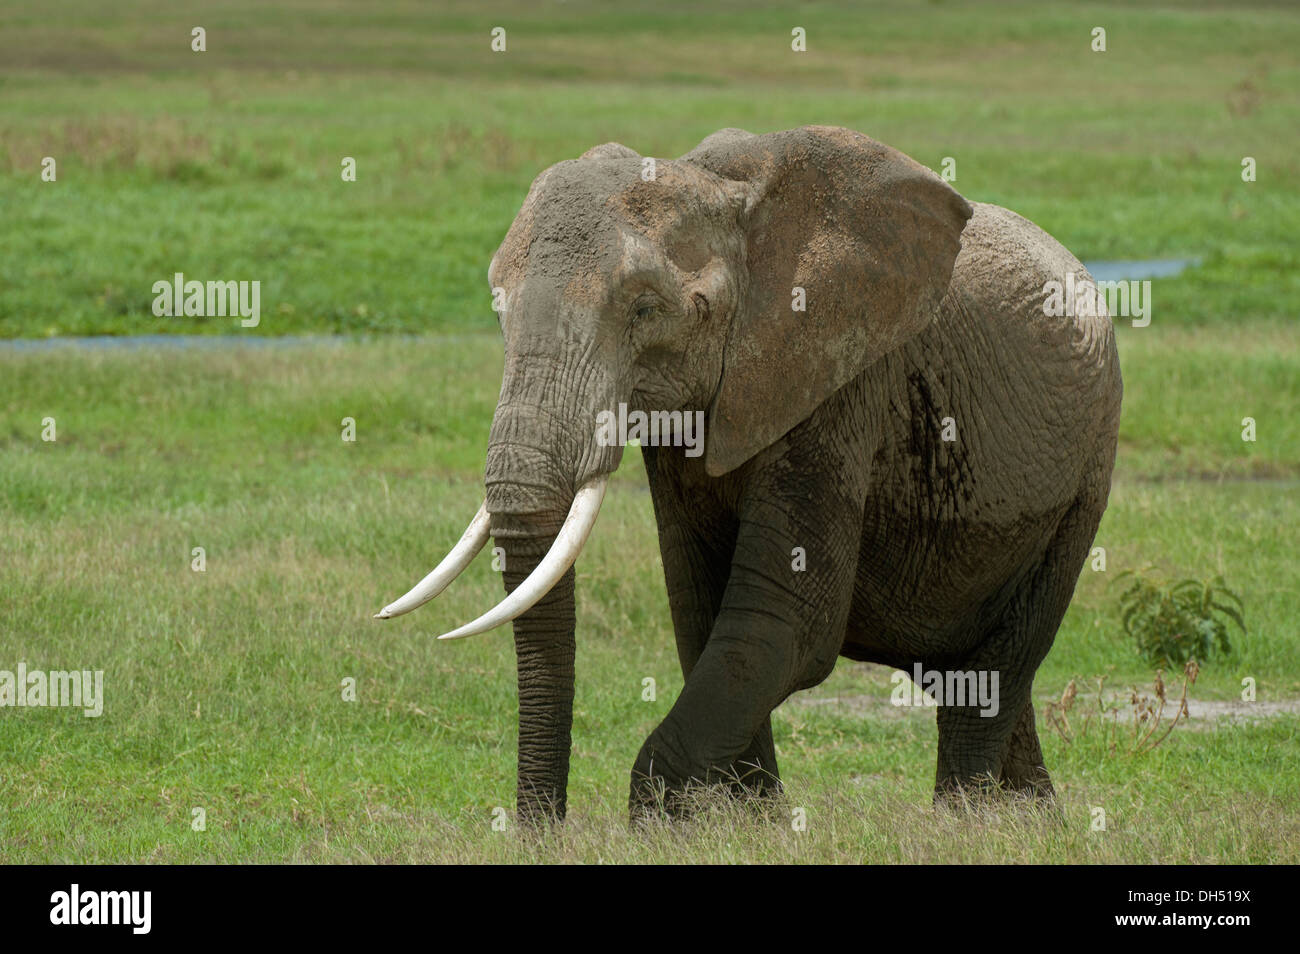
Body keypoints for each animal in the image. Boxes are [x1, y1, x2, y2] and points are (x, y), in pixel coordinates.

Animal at [375, 125, 1122, 823]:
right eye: (498, 305)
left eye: (646, 310)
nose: (543, 832)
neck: (714, 184)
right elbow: (701, 611)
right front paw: (750, 822)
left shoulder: (837, 381)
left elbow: (781, 623)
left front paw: (670, 826)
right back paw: (1032, 818)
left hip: (1087, 470)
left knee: (999, 665)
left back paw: (964, 821)